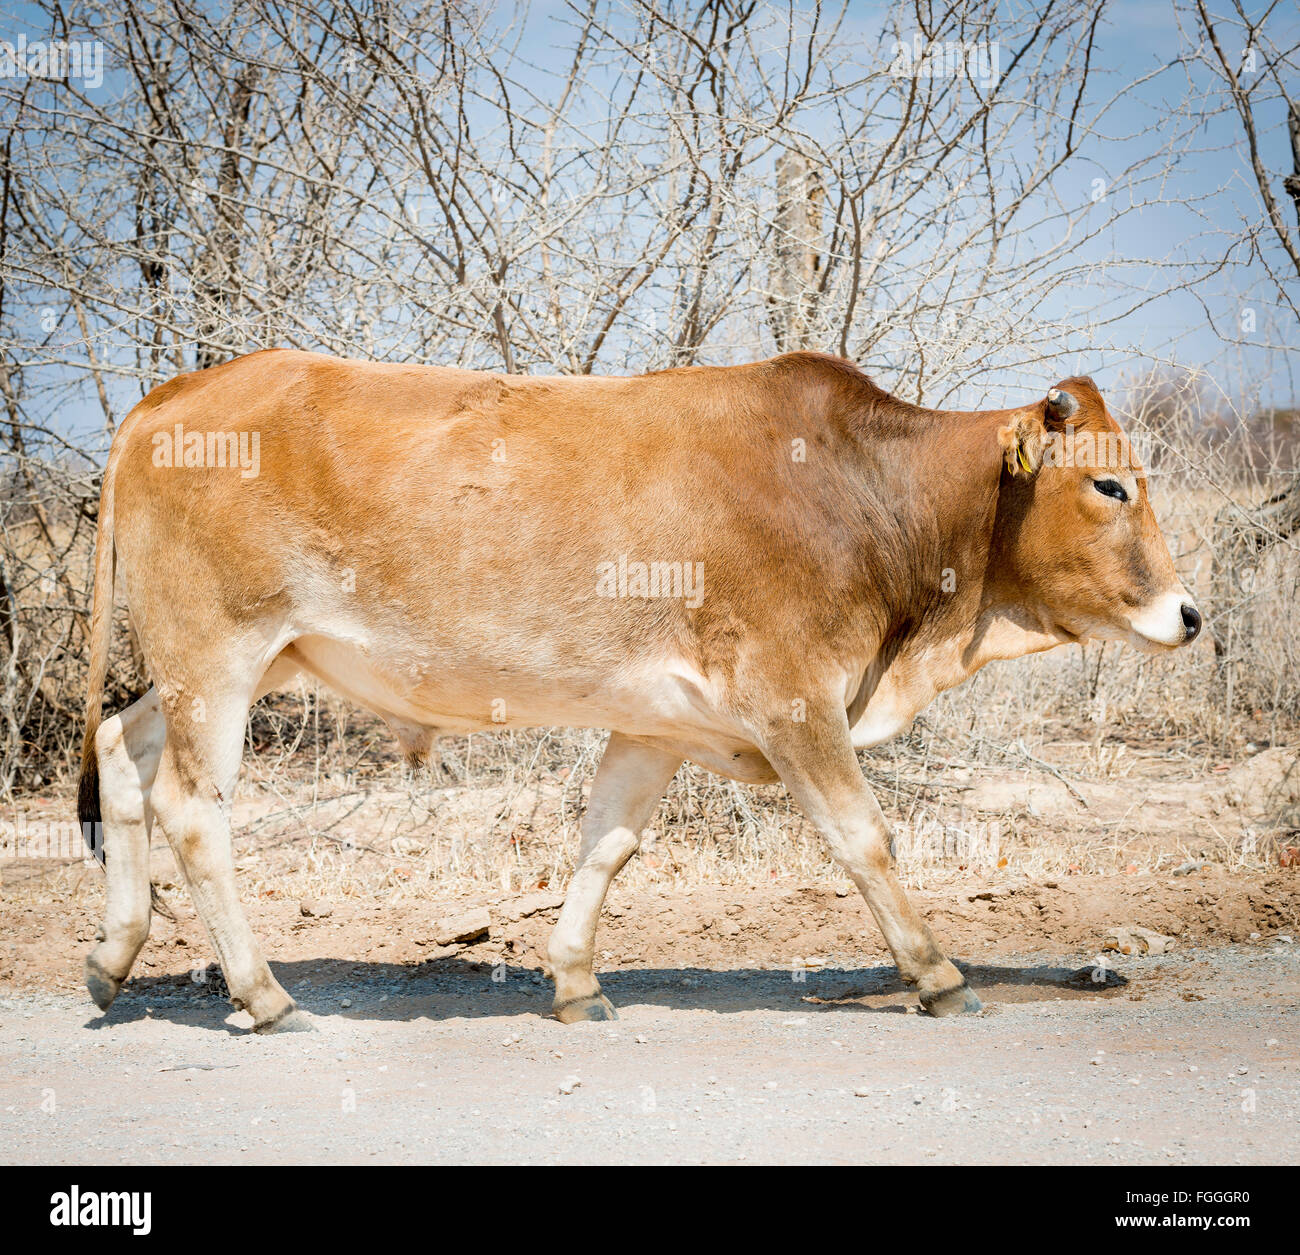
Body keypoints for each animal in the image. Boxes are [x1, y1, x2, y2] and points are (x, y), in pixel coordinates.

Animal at [77, 350, 1200, 1031]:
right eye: (1108, 483)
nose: (1189, 615)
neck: (863, 490)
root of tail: (174, 394)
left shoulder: (656, 724)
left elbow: (604, 846)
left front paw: (574, 980)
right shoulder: (796, 700)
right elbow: (863, 838)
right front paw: (937, 974)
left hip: (227, 664)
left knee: (119, 750)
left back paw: (115, 952)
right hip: (218, 657)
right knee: (193, 807)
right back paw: (264, 994)